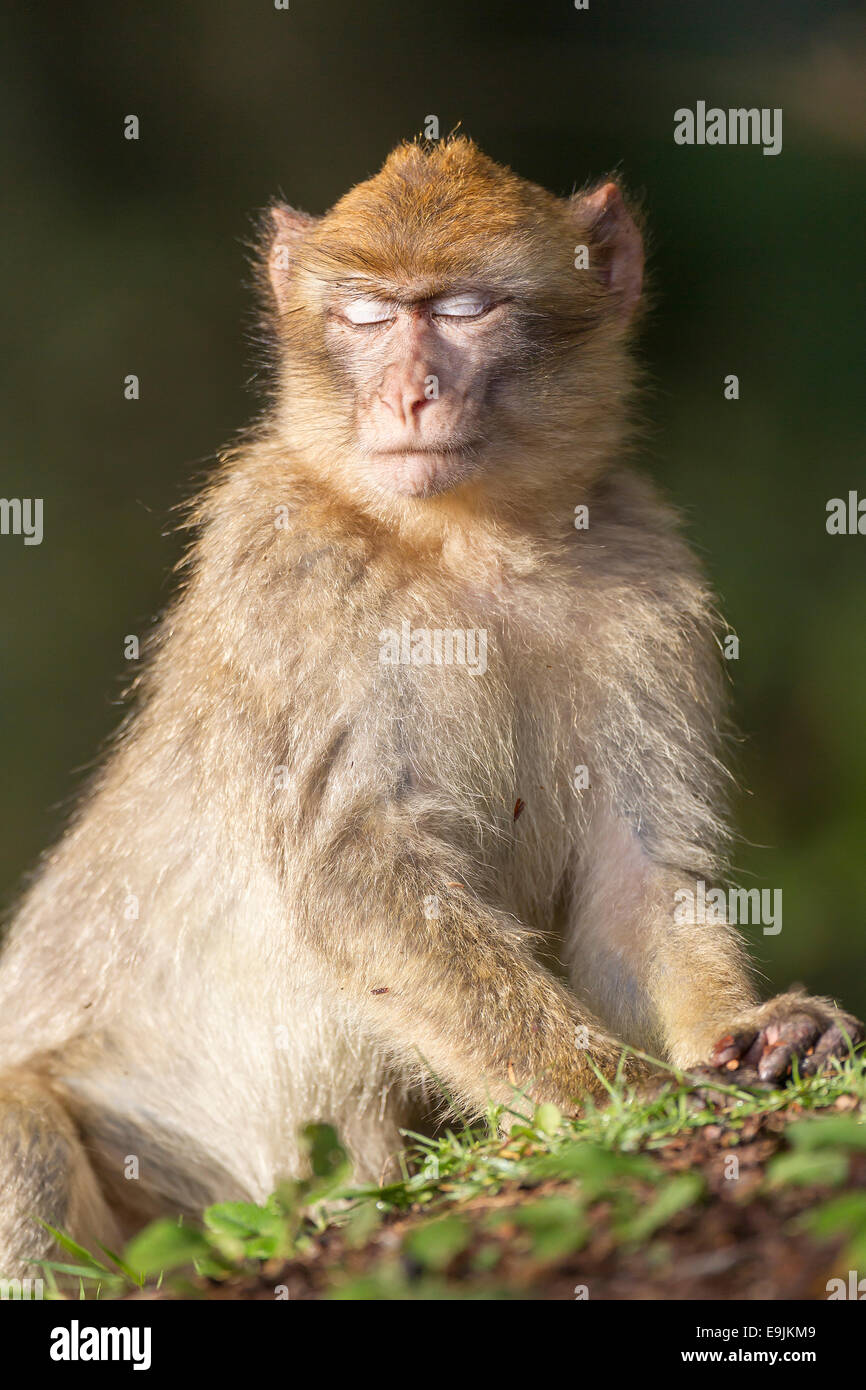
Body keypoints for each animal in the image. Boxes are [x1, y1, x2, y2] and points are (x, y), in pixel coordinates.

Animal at [0, 137, 860, 1278]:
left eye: (461, 307)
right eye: (367, 315)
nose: (409, 395)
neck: (467, 538)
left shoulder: (647, 572)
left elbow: (636, 875)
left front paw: (762, 1029)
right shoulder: (288, 569)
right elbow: (362, 881)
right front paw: (621, 1093)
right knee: (23, 1127)